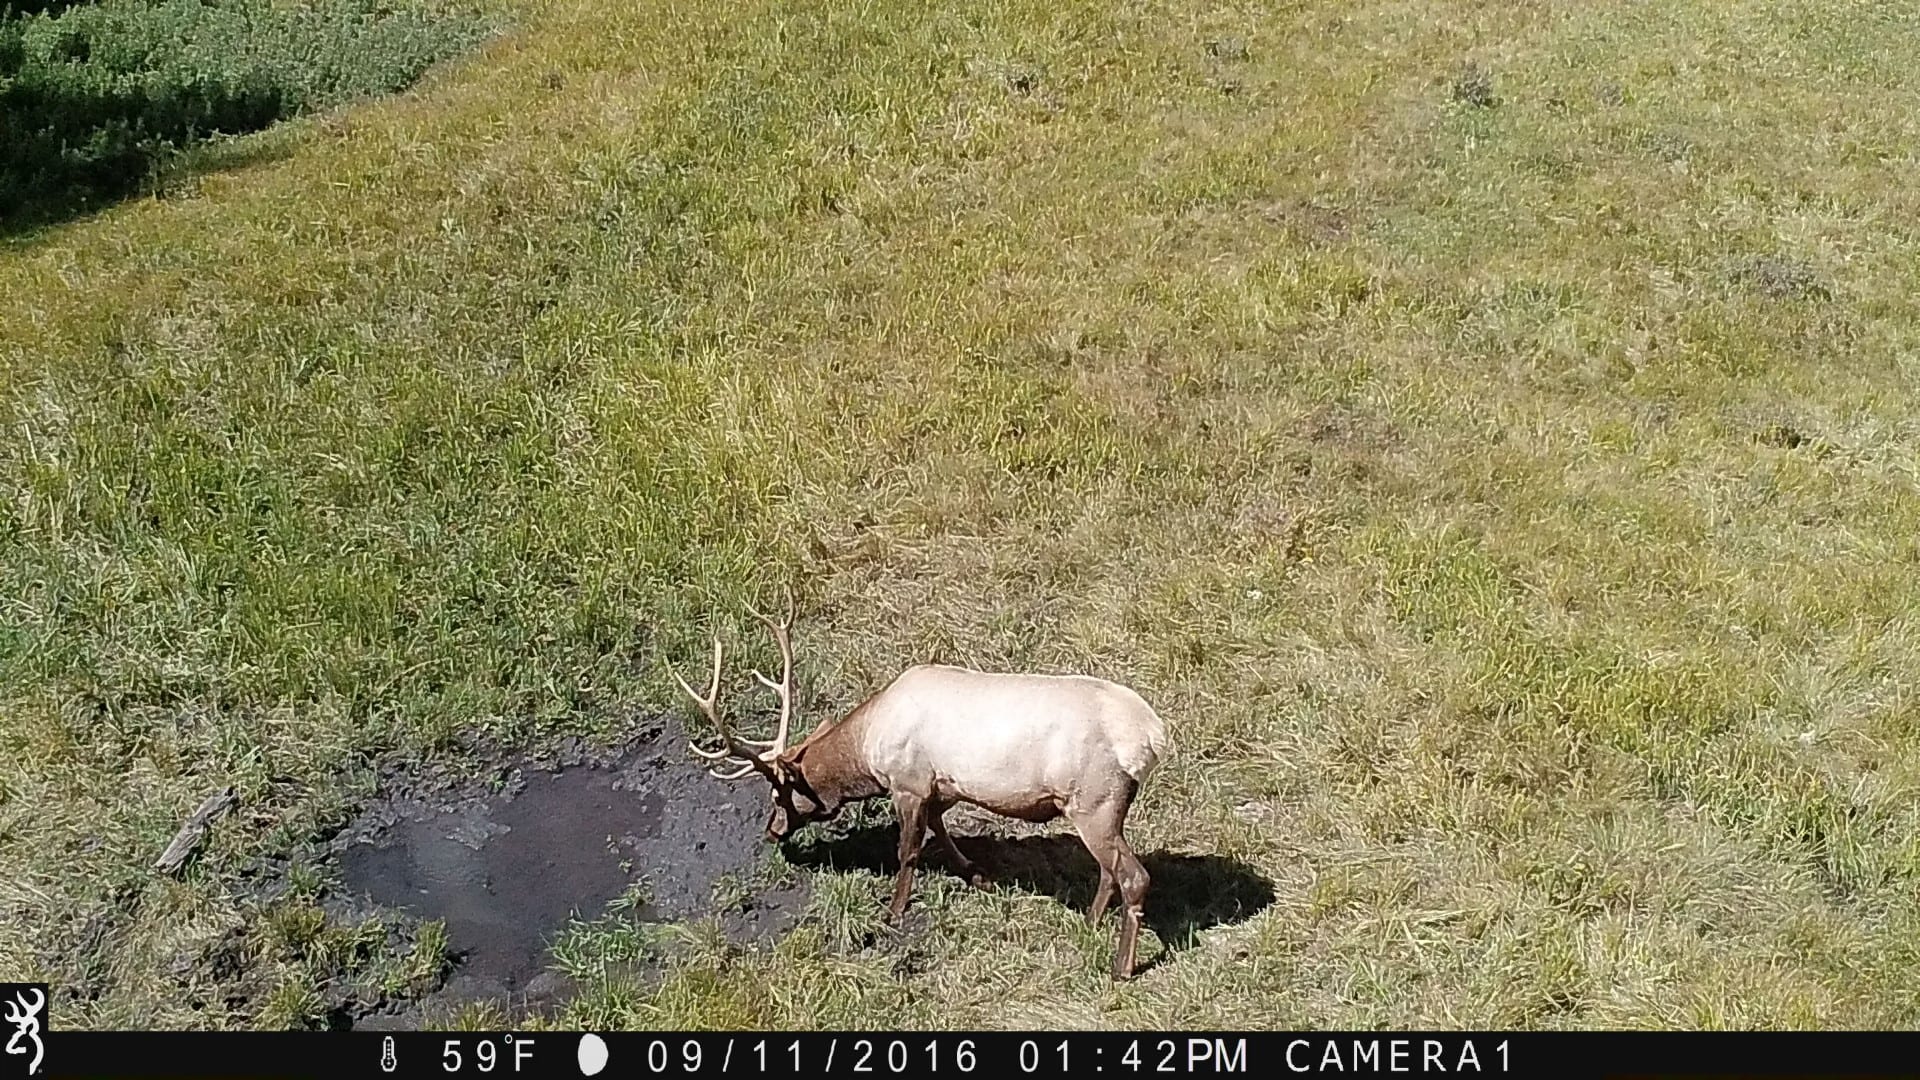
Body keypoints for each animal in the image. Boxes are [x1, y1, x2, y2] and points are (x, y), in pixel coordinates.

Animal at [668, 590, 1173, 980]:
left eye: (779, 793)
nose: (772, 831)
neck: (869, 749)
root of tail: (1153, 738)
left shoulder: (907, 781)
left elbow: (907, 849)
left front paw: (894, 911)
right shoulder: (941, 786)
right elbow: (940, 831)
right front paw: (976, 874)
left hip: (1095, 800)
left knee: (1134, 875)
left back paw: (1122, 967)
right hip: (1097, 810)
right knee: (1109, 871)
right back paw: (1089, 921)